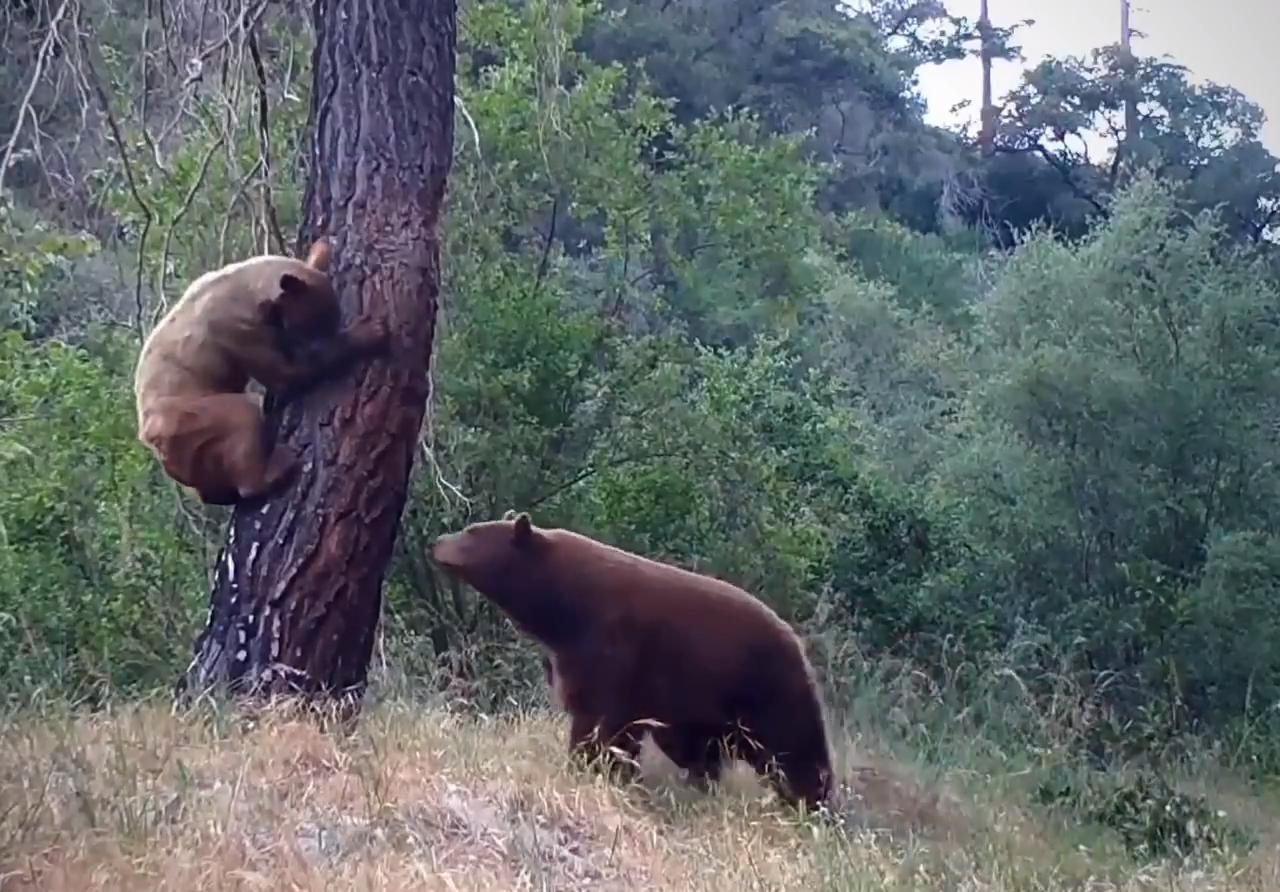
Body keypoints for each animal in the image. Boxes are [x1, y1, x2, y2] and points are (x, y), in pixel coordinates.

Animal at [133, 238, 388, 505]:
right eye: (316, 323)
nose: (317, 341)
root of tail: (150, 440)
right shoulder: (238, 329)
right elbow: (287, 373)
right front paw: (370, 332)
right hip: (188, 417)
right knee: (242, 415)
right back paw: (273, 470)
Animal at [432, 512, 835, 812]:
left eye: (471, 531)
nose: (436, 542)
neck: (567, 606)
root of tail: (797, 643)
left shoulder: (613, 645)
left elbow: (605, 718)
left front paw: (596, 766)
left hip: (768, 690)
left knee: (795, 751)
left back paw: (811, 804)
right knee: (703, 756)